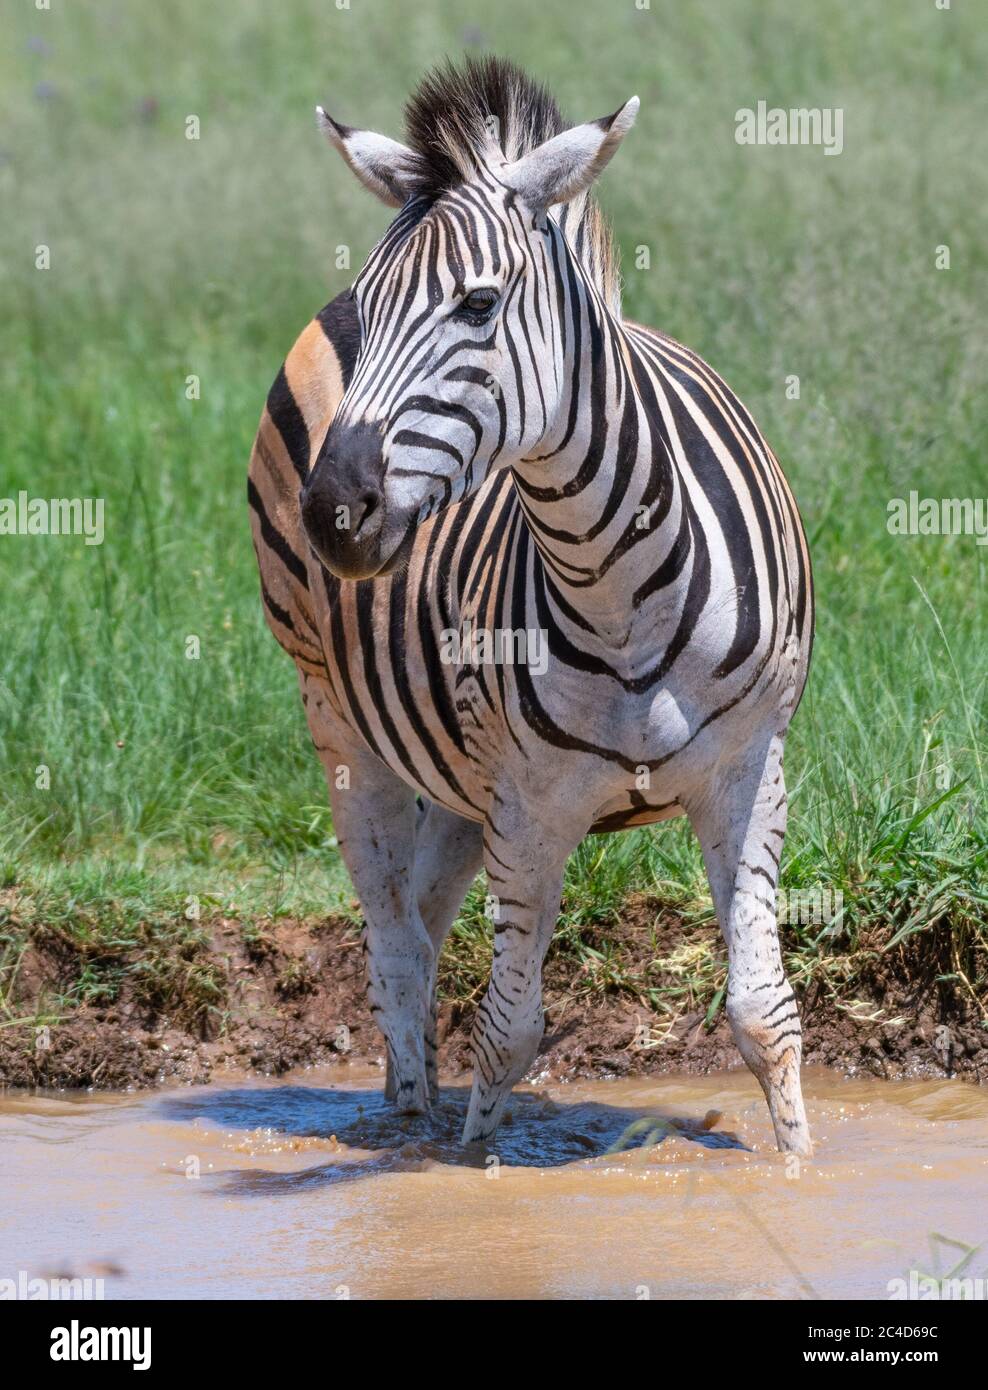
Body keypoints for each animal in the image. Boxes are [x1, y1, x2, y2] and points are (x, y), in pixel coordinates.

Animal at [248, 57, 814, 1154]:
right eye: (370, 311)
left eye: (477, 306)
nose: (333, 514)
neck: (618, 588)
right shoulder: (528, 803)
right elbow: (508, 1031)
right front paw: (472, 1173)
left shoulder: (747, 772)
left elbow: (763, 1013)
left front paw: (801, 1173)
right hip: (337, 718)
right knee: (395, 947)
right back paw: (411, 1124)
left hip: (452, 770)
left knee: (421, 924)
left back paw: (408, 1102)